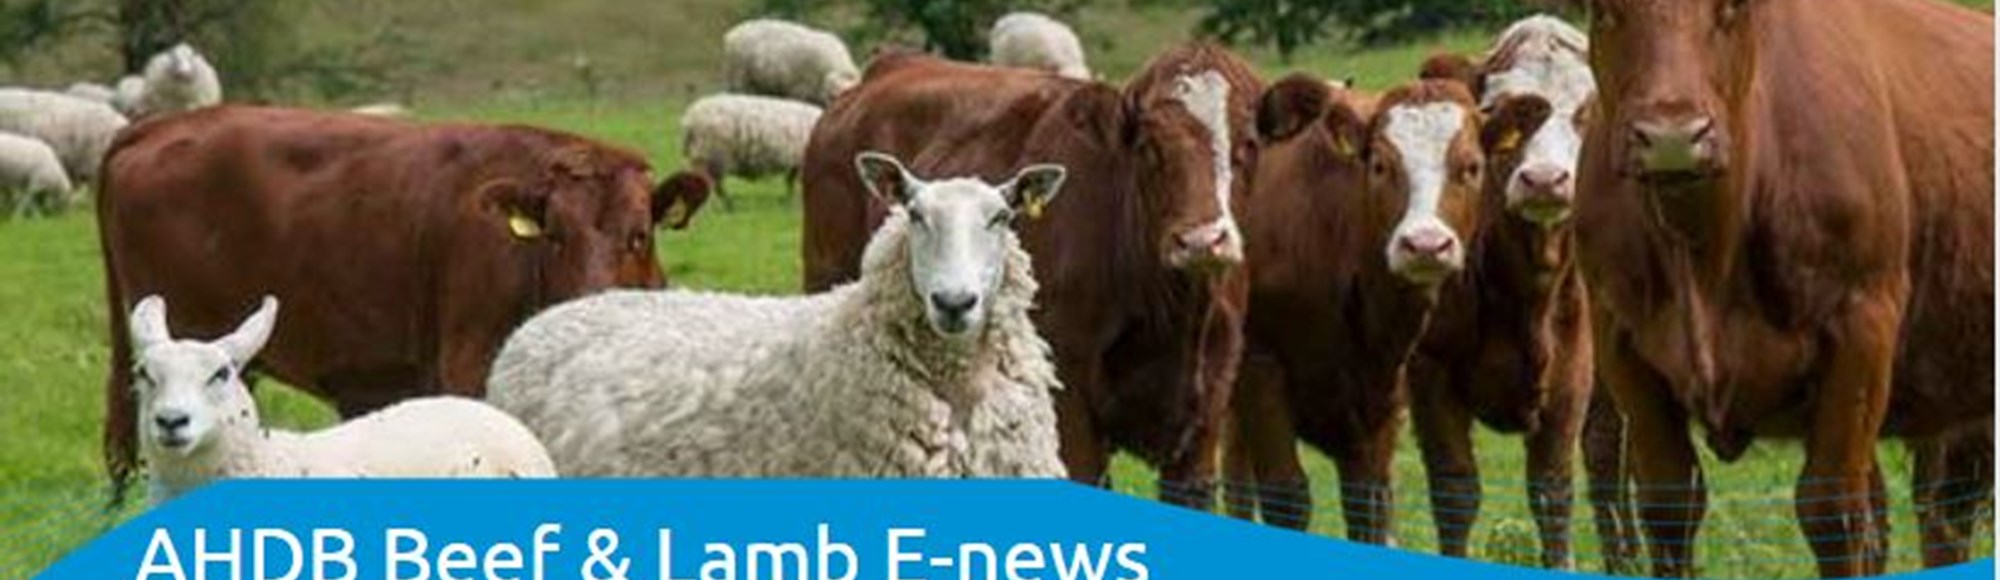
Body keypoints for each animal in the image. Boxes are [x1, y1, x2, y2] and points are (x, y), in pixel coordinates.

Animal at [680, 93, 821, 209]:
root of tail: (689, 120)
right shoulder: (802, 162)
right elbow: (799, 184)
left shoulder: (796, 163)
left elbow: (791, 183)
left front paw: (790, 202)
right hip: (709, 155)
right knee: (707, 181)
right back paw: (713, 207)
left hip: (709, 156)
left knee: (716, 184)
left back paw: (728, 204)